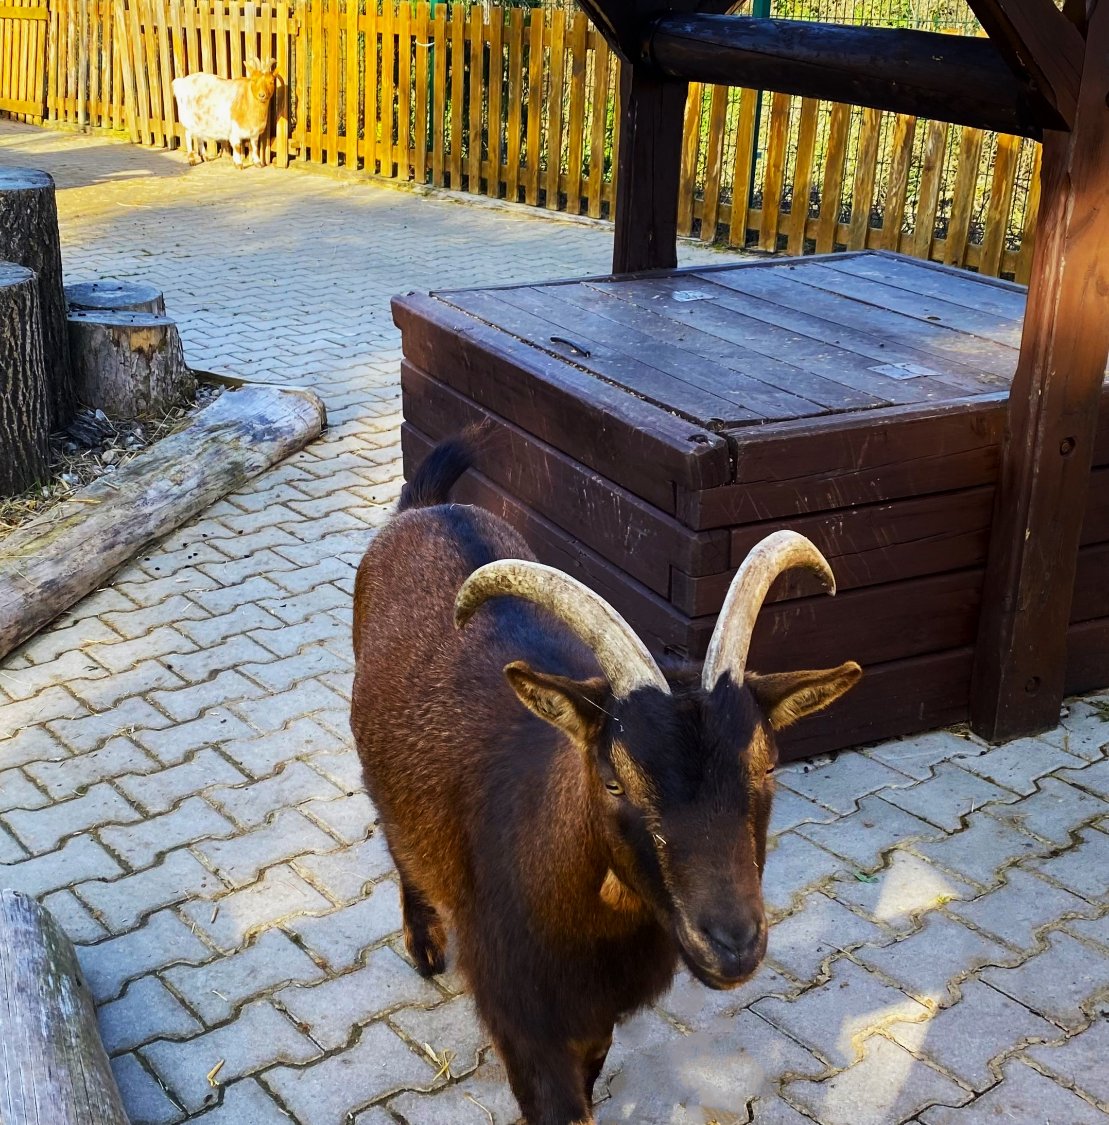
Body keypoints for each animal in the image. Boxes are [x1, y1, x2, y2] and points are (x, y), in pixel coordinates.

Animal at [351, 437, 861, 1125]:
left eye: (768, 764)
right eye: (615, 781)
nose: (733, 943)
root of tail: (428, 507)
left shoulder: (593, 1021)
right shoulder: (521, 1018)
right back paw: (426, 948)